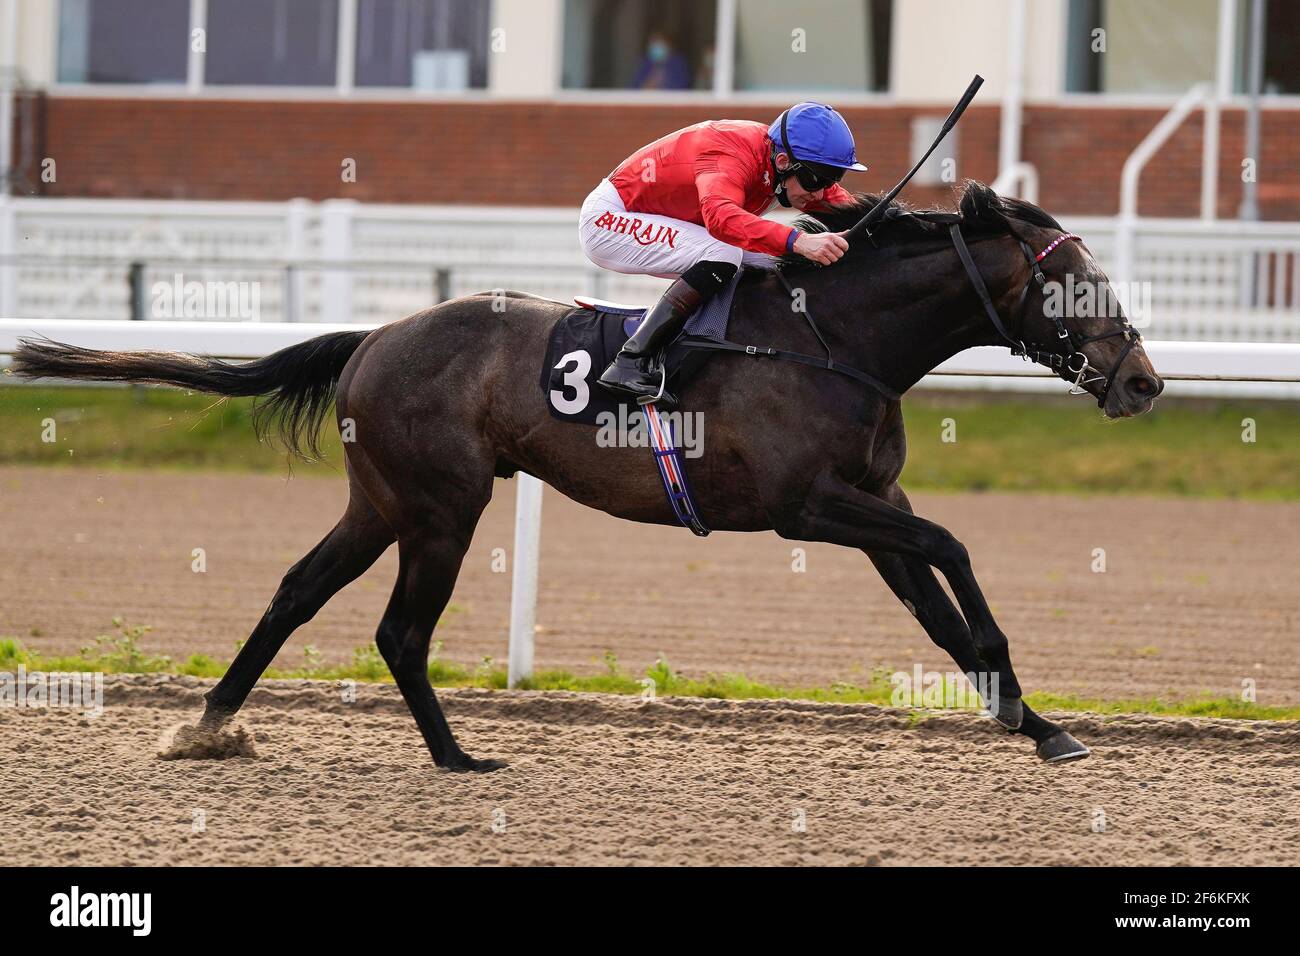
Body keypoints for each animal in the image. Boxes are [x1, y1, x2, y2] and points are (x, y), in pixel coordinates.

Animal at [12, 182, 1163, 772]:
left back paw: (208, 725)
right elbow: (953, 550)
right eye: (1074, 282)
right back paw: (458, 757)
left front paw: (1038, 722)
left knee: (296, 591)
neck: (835, 336)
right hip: (443, 505)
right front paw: (1029, 713)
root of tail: (374, 335)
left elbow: (940, 606)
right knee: (400, 631)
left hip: (382, 500)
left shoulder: (872, 501)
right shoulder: (807, 507)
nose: (1145, 380)